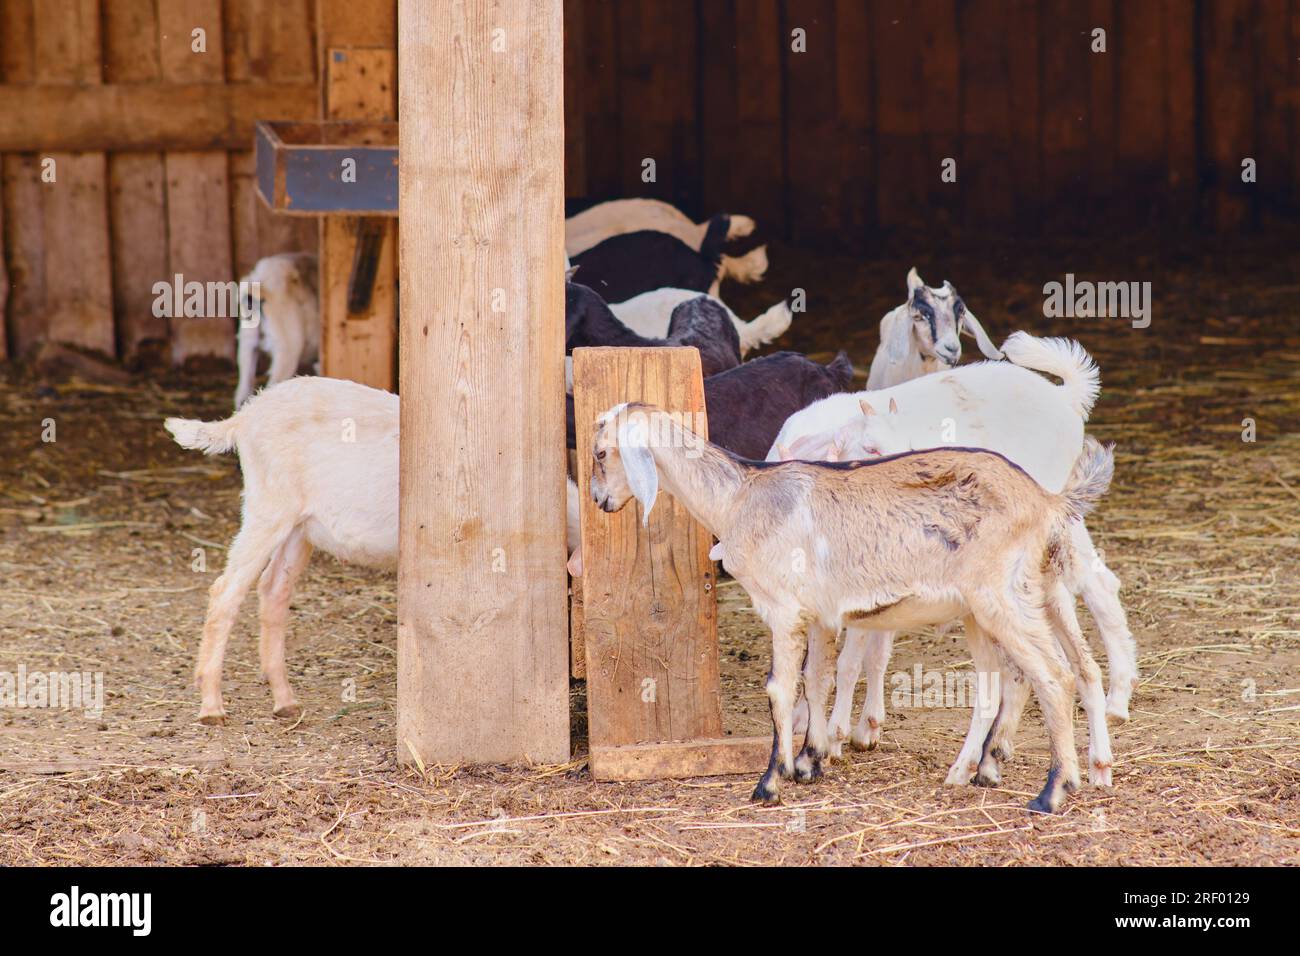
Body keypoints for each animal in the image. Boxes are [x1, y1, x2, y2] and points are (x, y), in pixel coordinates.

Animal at [165, 377, 581, 724]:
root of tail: (245, 416)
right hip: (268, 506)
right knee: (225, 591)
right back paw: (211, 706)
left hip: (299, 526)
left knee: (273, 590)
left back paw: (285, 701)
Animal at [587, 402, 1115, 812]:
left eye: (600, 452)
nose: (599, 499)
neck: (740, 498)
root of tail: (1048, 501)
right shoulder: (819, 614)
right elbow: (816, 680)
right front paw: (810, 761)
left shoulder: (782, 608)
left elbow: (780, 688)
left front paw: (771, 781)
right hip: (997, 606)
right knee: (1019, 679)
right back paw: (981, 771)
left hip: (1002, 598)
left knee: (1054, 675)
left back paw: (1053, 791)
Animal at [772, 333, 1136, 777]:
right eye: (869, 448)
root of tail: (1064, 397)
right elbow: (861, 651)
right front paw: (852, 725)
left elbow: (850, 658)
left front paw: (836, 733)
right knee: (1096, 580)